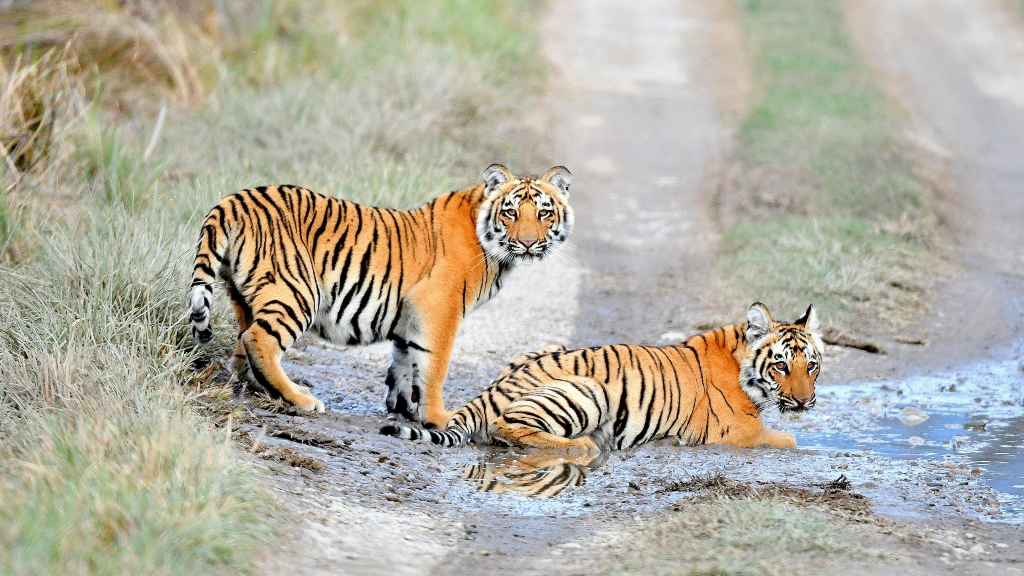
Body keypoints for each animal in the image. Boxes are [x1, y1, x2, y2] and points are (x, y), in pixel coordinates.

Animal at [188, 164, 573, 428]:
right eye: (511, 212)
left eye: (544, 212)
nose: (527, 242)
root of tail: (233, 200)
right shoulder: (439, 307)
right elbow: (436, 366)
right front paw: (438, 417)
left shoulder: (410, 313)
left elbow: (405, 360)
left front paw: (403, 406)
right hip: (297, 292)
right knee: (260, 341)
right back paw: (300, 398)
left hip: (245, 296)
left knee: (244, 342)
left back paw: (255, 387)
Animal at [380, 303, 822, 451]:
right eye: (781, 365)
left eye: (812, 366)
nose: (805, 401)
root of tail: (488, 391)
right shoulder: (739, 431)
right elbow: (788, 439)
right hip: (588, 389)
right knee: (508, 427)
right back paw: (583, 446)